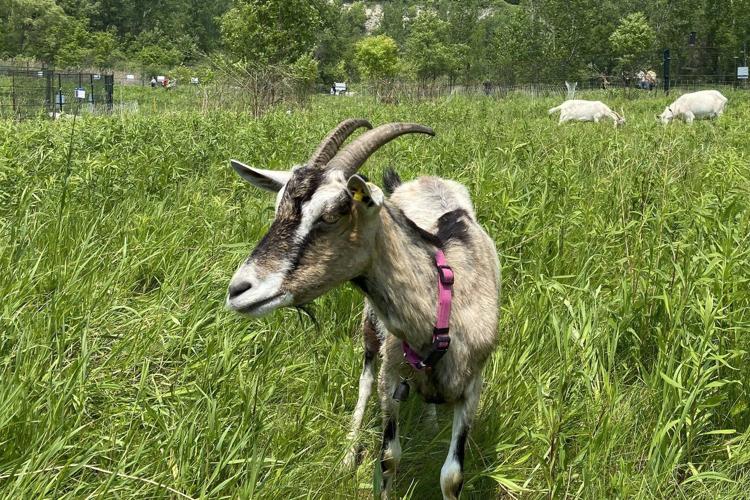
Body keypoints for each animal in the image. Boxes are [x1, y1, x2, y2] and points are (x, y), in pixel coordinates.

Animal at [226, 119, 500, 499]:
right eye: (278, 208)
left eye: (330, 215)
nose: (238, 290)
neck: (445, 303)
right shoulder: (391, 375)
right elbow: (389, 457)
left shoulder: (474, 384)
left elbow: (452, 475)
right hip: (371, 332)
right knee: (363, 383)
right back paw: (348, 452)